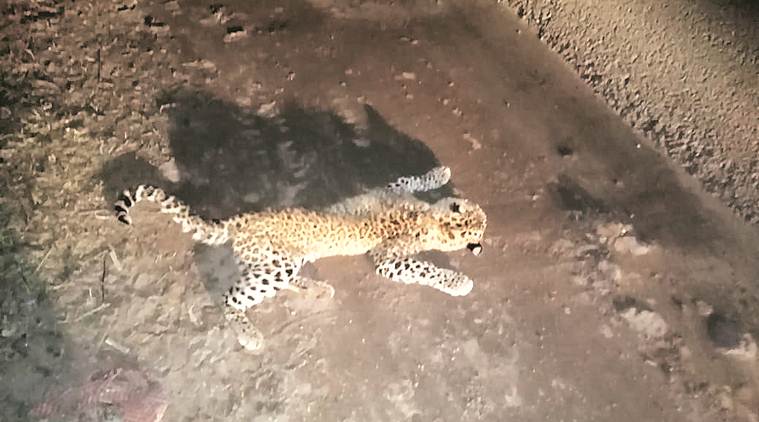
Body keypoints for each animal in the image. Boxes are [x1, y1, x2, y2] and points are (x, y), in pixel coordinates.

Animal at [114, 166, 487, 352]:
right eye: (478, 230)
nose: (483, 239)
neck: (425, 218)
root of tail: (239, 220)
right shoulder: (387, 258)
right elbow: (423, 267)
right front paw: (458, 281)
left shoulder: (393, 190)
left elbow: (413, 178)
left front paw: (439, 173)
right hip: (277, 265)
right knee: (231, 297)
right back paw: (250, 334)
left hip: (281, 261)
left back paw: (316, 289)